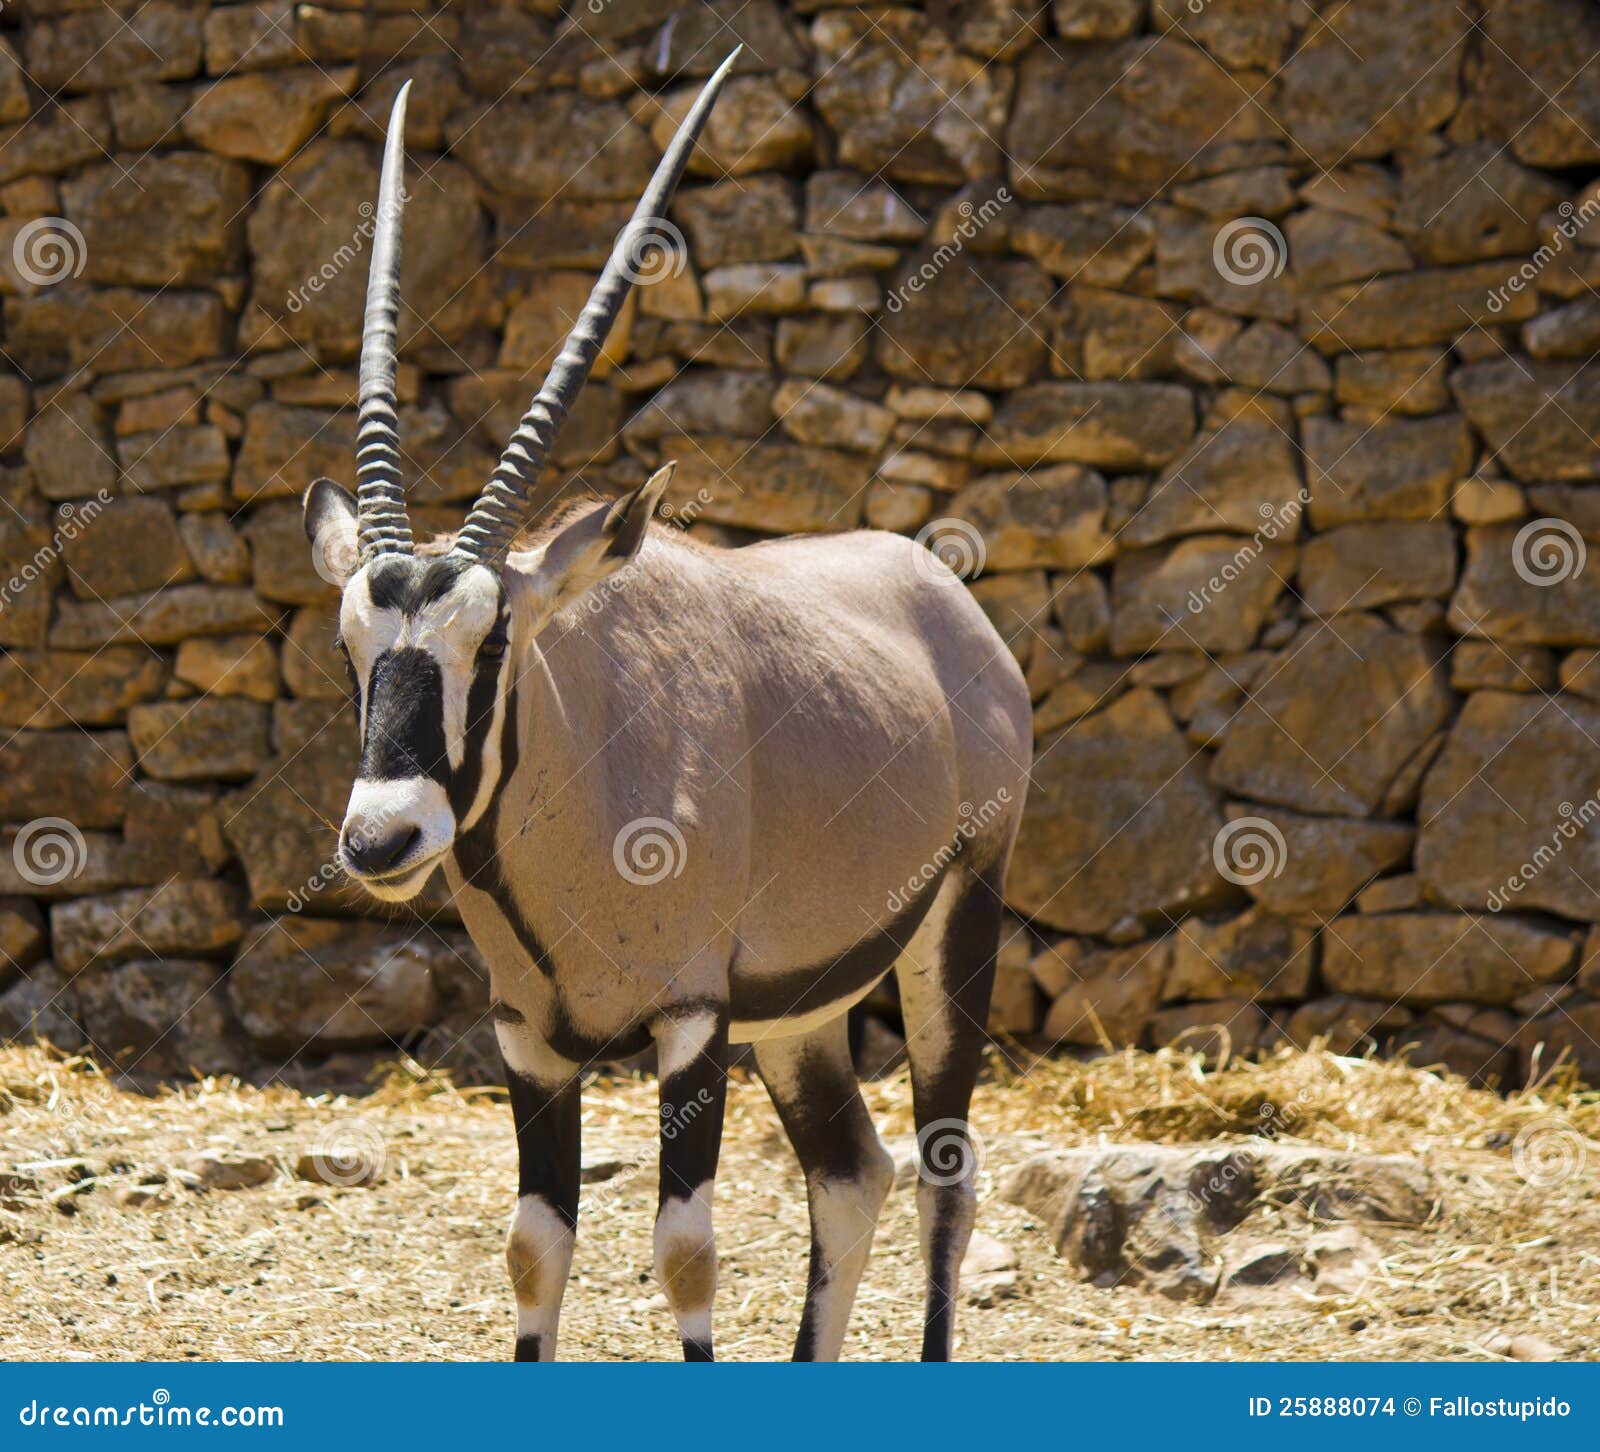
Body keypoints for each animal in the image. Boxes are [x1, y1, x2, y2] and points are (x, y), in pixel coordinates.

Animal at [302, 52, 1032, 1361]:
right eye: (350, 645)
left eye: (495, 642)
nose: (382, 837)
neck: (584, 768)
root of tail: (941, 594)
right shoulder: (531, 1039)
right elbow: (534, 1253)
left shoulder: (690, 1024)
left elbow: (685, 1255)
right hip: (795, 1012)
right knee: (852, 1172)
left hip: (956, 924)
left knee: (944, 1173)